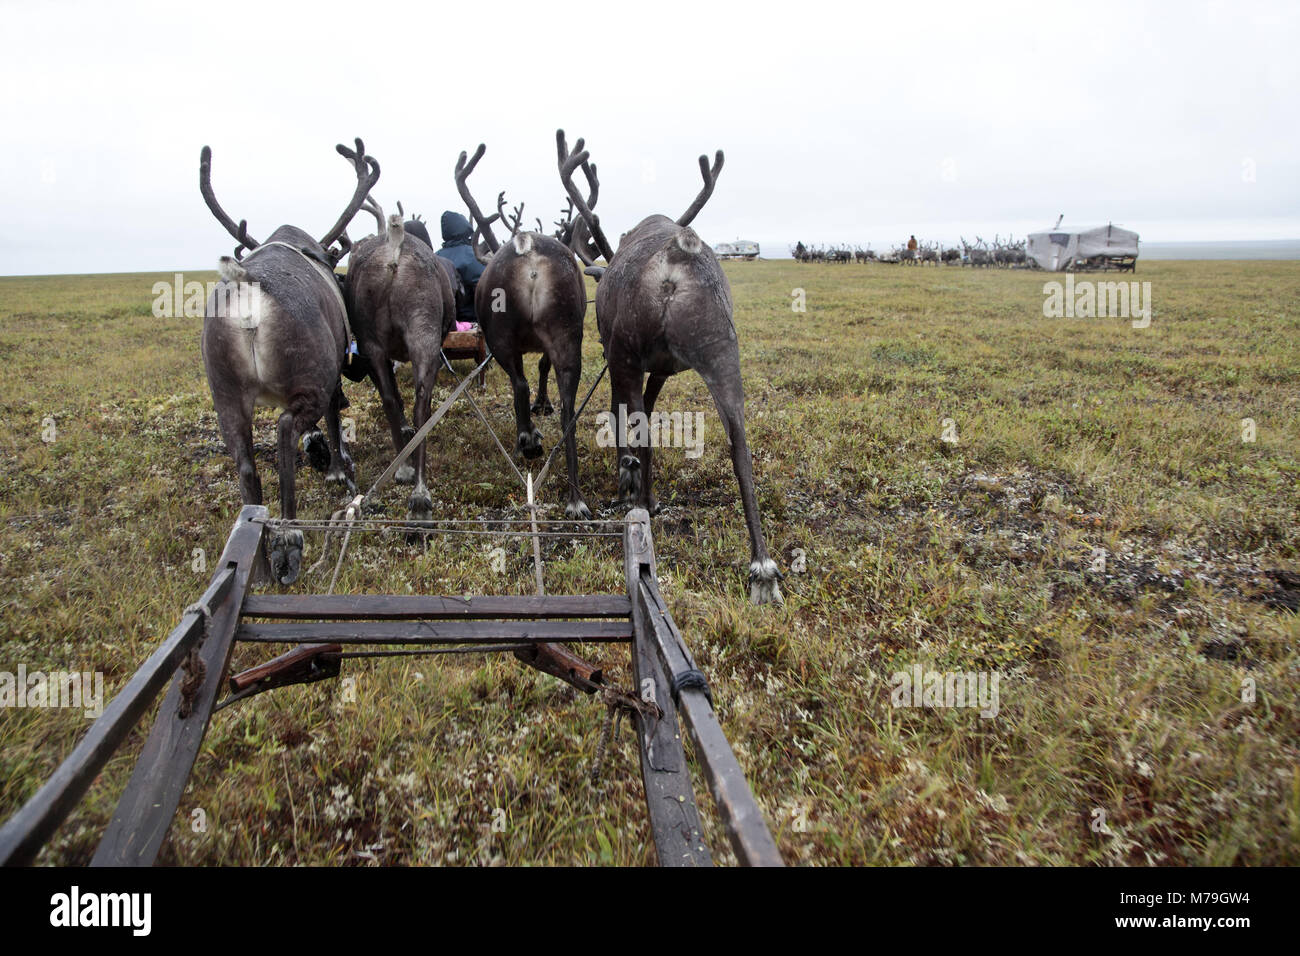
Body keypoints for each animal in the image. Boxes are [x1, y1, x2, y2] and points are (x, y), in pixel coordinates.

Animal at [199, 138, 378, 585]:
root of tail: (246, 281)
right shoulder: (330, 378)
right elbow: (333, 418)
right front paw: (339, 469)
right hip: (306, 379)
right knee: (283, 429)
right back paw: (288, 540)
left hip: (225, 396)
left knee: (246, 467)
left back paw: (259, 561)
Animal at [344, 192, 457, 539]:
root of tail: (394, 245)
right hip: (422, 328)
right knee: (421, 404)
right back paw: (419, 497)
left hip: (375, 340)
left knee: (393, 399)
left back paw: (410, 479)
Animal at [453, 142, 596, 520]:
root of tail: (528, 248)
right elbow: (544, 368)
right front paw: (542, 407)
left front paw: (533, 422)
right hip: (567, 331)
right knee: (568, 408)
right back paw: (576, 499)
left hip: (500, 338)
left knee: (519, 383)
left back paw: (527, 442)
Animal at [556, 130, 783, 605]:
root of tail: (679, 258)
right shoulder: (662, 367)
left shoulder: (626, 359)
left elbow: (629, 418)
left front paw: (635, 485)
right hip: (721, 344)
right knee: (740, 442)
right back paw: (762, 568)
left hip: (625, 349)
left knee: (638, 421)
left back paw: (639, 502)